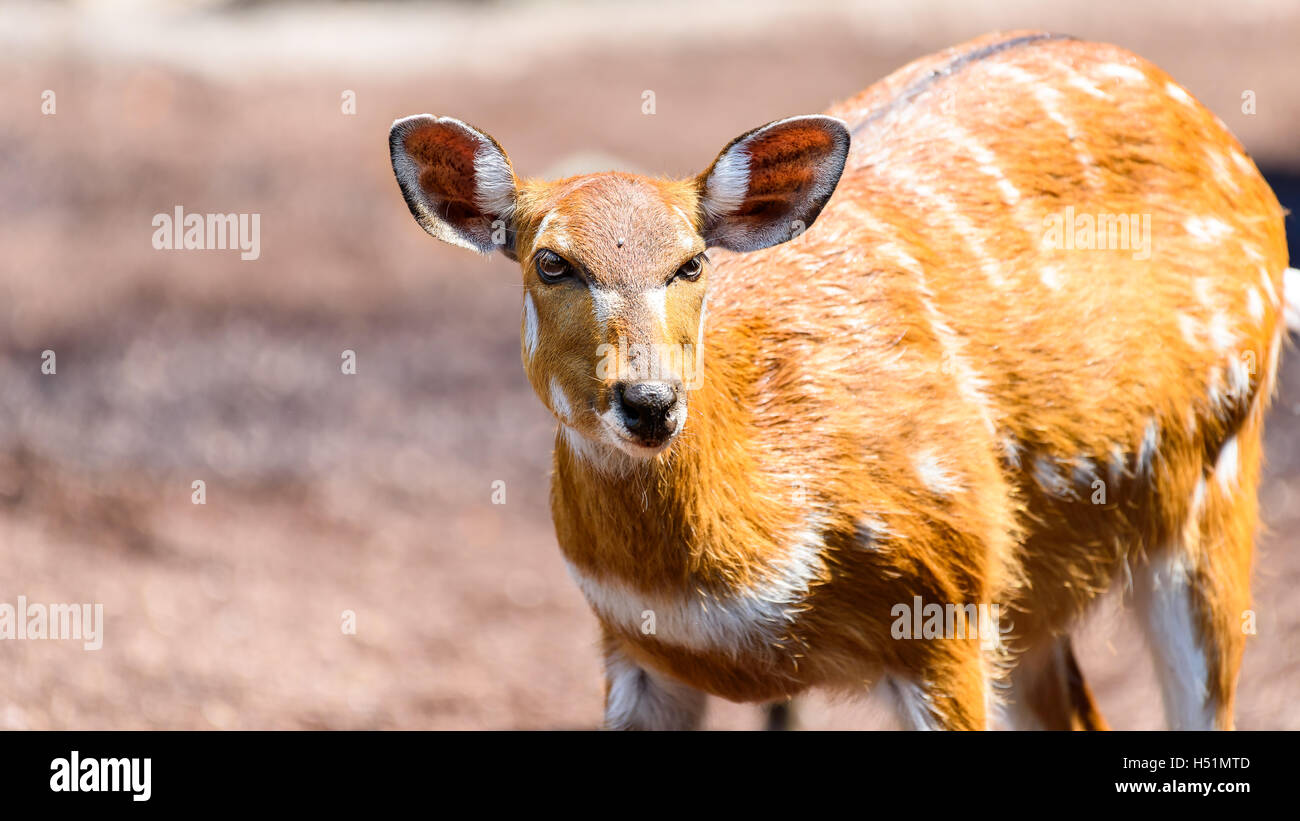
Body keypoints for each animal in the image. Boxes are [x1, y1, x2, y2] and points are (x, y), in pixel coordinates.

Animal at [389, 31, 1297, 730]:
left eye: (692, 262)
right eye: (551, 262)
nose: (649, 403)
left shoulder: (944, 595)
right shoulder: (633, 645)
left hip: (1215, 476)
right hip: (1035, 592)